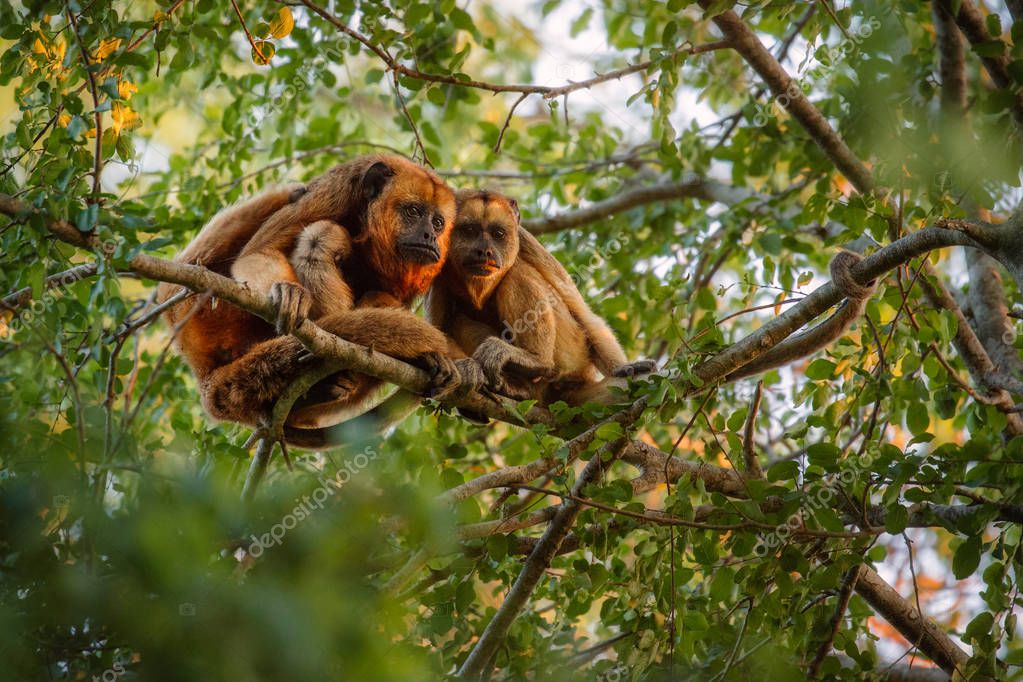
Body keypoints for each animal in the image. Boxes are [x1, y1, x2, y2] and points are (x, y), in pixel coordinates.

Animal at [157, 154, 471, 445]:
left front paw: (428, 356)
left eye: (438, 222)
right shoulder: (337, 189)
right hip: (200, 307)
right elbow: (259, 253)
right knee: (316, 231)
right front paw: (289, 293)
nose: (430, 235)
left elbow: (391, 297)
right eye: (413, 211)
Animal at [424, 188, 655, 407]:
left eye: (498, 233)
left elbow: (581, 312)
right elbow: (439, 330)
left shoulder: (526, 240)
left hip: (573, 352)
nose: (485, 251)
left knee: (517, 274)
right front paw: (458, 367)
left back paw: (537, 361)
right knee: (457, 319)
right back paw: (517, 387)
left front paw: (623, 368)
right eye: (469, 230)